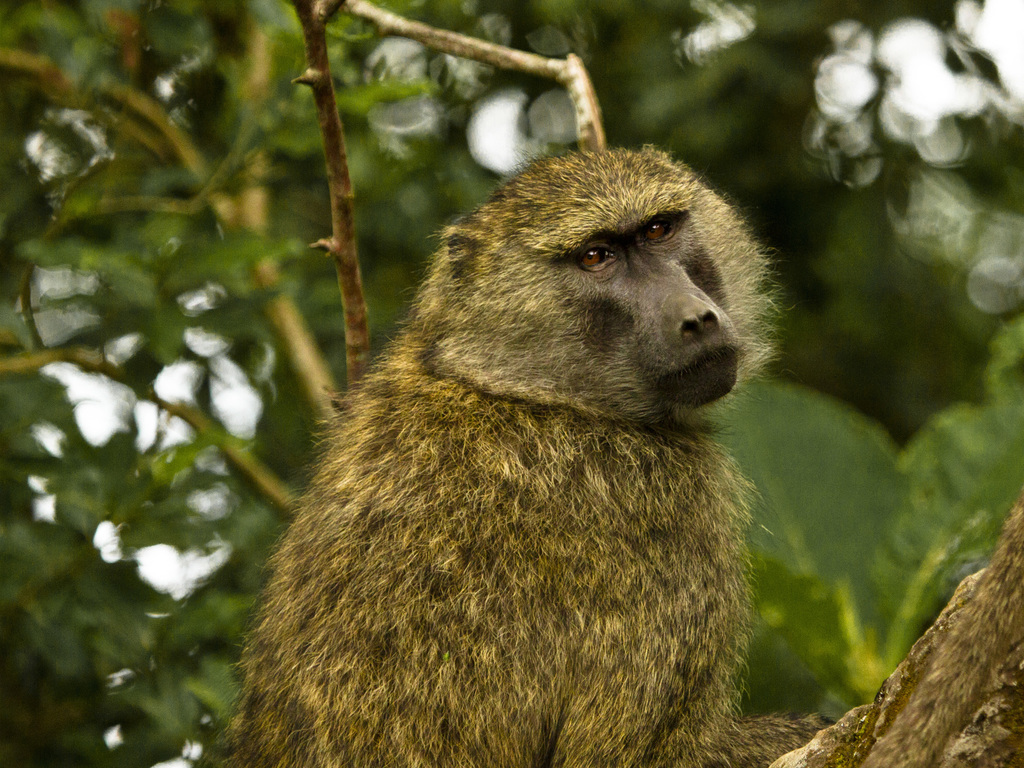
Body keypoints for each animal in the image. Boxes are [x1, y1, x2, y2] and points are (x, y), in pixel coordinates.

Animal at [225, 148, 826, 767]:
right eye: (595, 257)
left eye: (659, 229)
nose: (695, 318)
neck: (513, 385)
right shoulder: (664, 504)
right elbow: (631, 757)